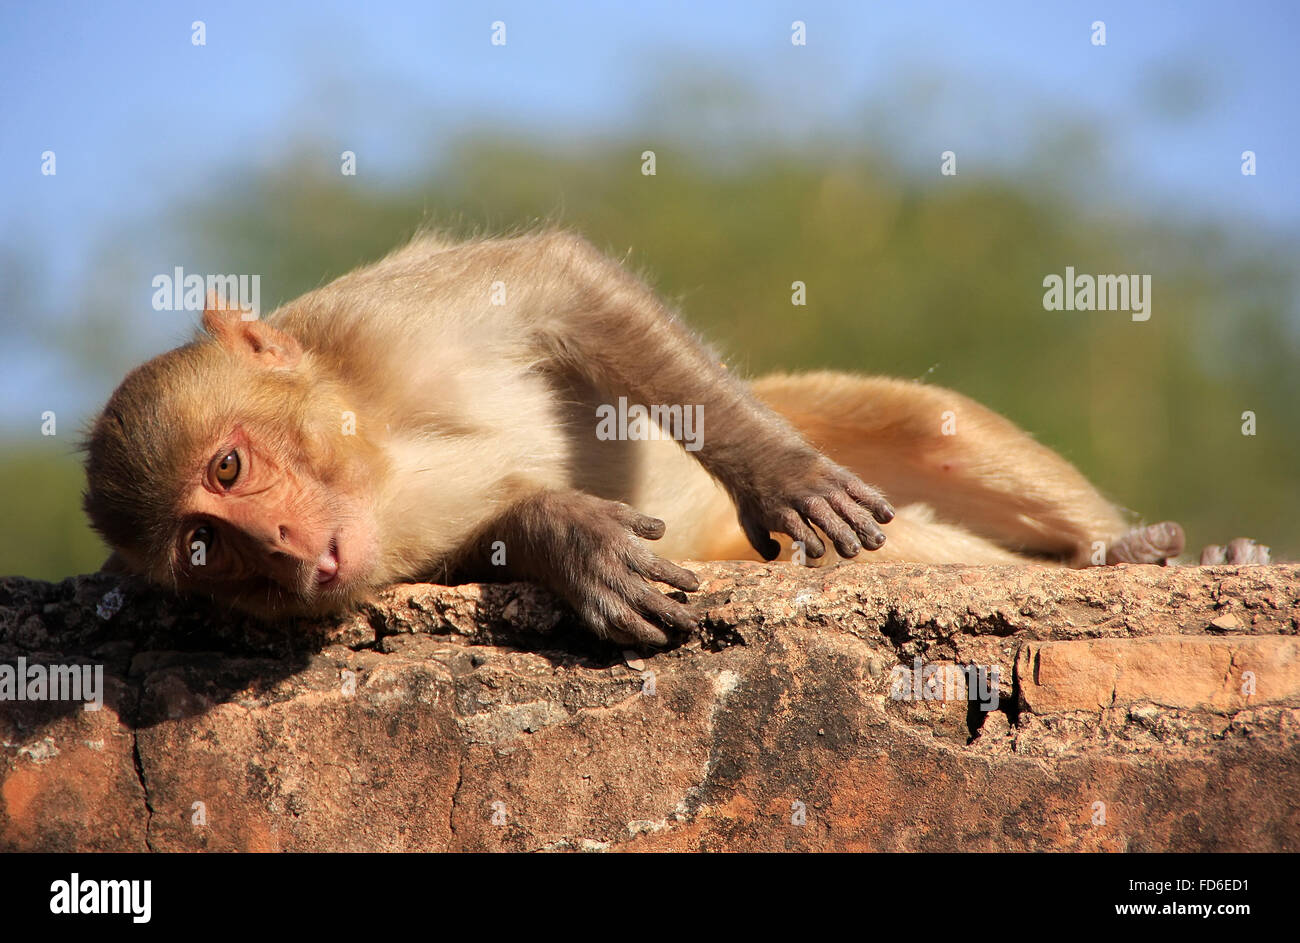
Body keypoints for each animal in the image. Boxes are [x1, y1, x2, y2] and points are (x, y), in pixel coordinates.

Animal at [82, 230, 1270, 647]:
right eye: (207, 547)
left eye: (230, 465)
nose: (283, 545)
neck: (372, 441)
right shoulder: (370, 557)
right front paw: (565, 536)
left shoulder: (379, 324)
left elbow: (563, 283)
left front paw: (776, 472)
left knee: (927, 426)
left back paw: (1141, 552)